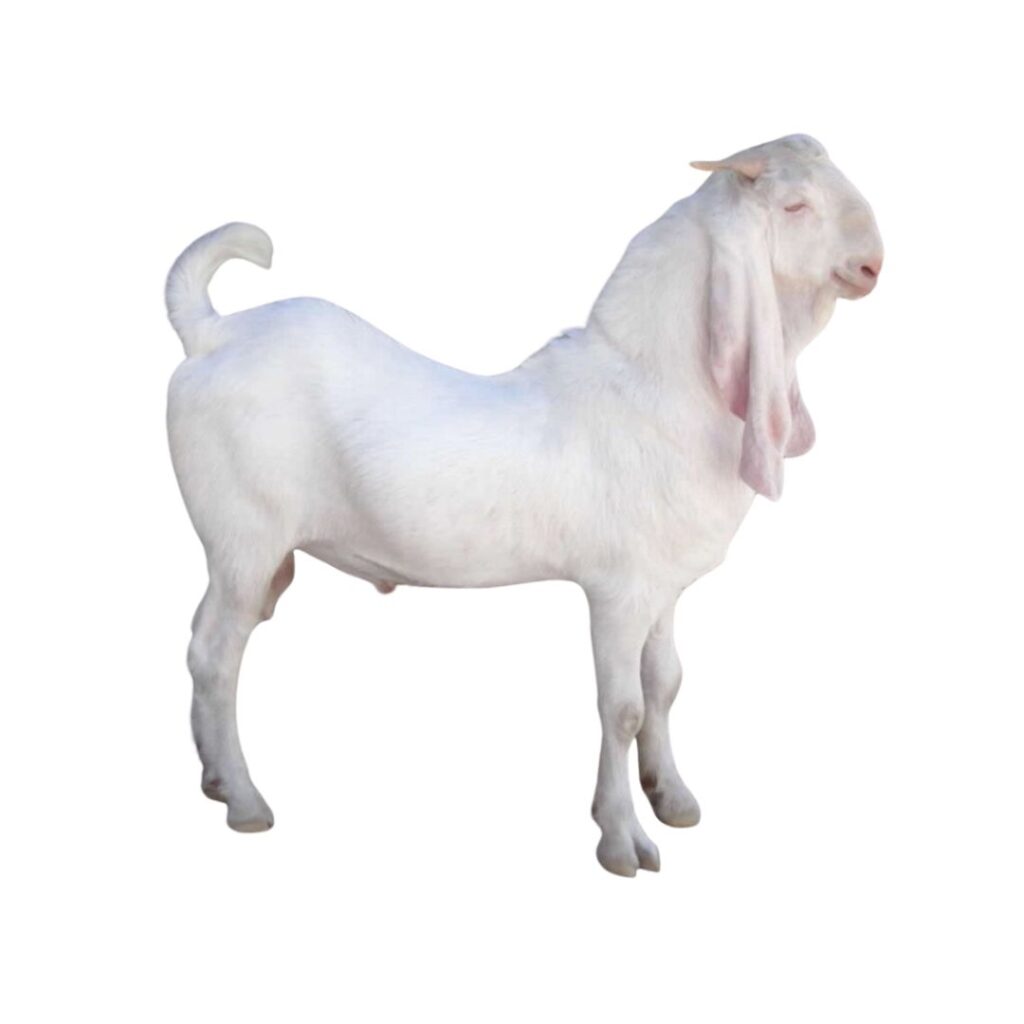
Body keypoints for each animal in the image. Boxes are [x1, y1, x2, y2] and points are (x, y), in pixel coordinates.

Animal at [165, 133, 883, 876]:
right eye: (795, 205)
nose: (872, 265)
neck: (653, 387)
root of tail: (211, 334)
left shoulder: (663, 587)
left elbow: (665, 684)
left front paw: (673, 797)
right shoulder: (617, 591)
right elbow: (622, 707)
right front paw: (622, 840)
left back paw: (214, 778)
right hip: (244, 538)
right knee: (215, 654)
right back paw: (244, 800)